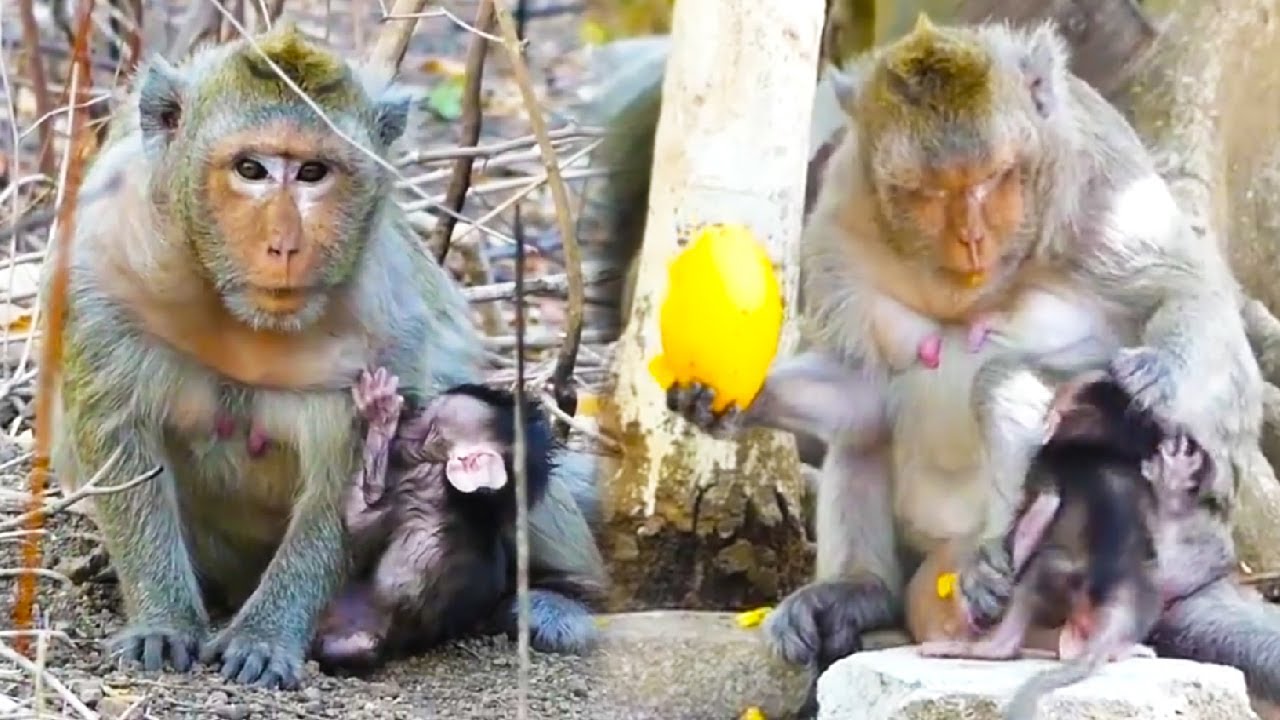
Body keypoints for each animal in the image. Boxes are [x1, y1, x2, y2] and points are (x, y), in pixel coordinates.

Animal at [657, 17, 1280, 717]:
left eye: (995, 177)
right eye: (923, 194)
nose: (972, 240)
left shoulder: (1103, 182)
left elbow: (1183, 294)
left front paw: (1160, 374)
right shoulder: (842, 216)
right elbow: (865, 392)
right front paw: (730, 402)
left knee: (1005, 385)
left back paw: (1011, 546)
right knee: (865, 439)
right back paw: (862, 589)